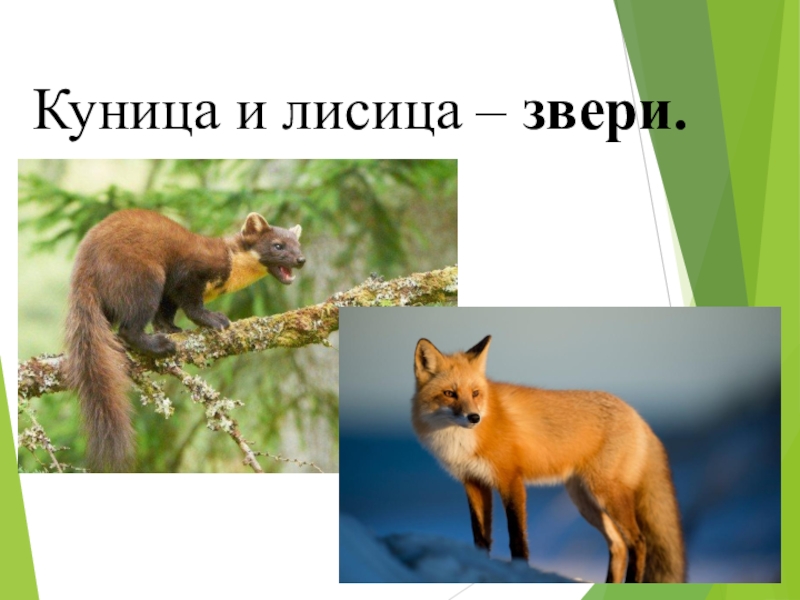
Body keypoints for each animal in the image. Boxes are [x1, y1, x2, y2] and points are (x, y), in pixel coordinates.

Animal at [65, 208, 305, 472]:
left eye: (298, 245)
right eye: (278, 245)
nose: (301, 260)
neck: (227, 275)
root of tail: (85, 258)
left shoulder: (169, 296)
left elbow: (164, 315)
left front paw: (171, 328)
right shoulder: (188, 274)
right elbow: (191, 306)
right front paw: (213, 319)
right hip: (145, 277)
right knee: (128, 329)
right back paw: (160, 345)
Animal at [411, 335, 686, 583]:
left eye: (475, 393)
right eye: (450, 393)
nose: (474, 417)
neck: (460, 441)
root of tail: (638, 416)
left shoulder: (511, 480)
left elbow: (517, 539)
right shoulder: (473, 483)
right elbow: (480, 538)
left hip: (606, 494)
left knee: (638, 542)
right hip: (585, 501)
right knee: (618, 545)